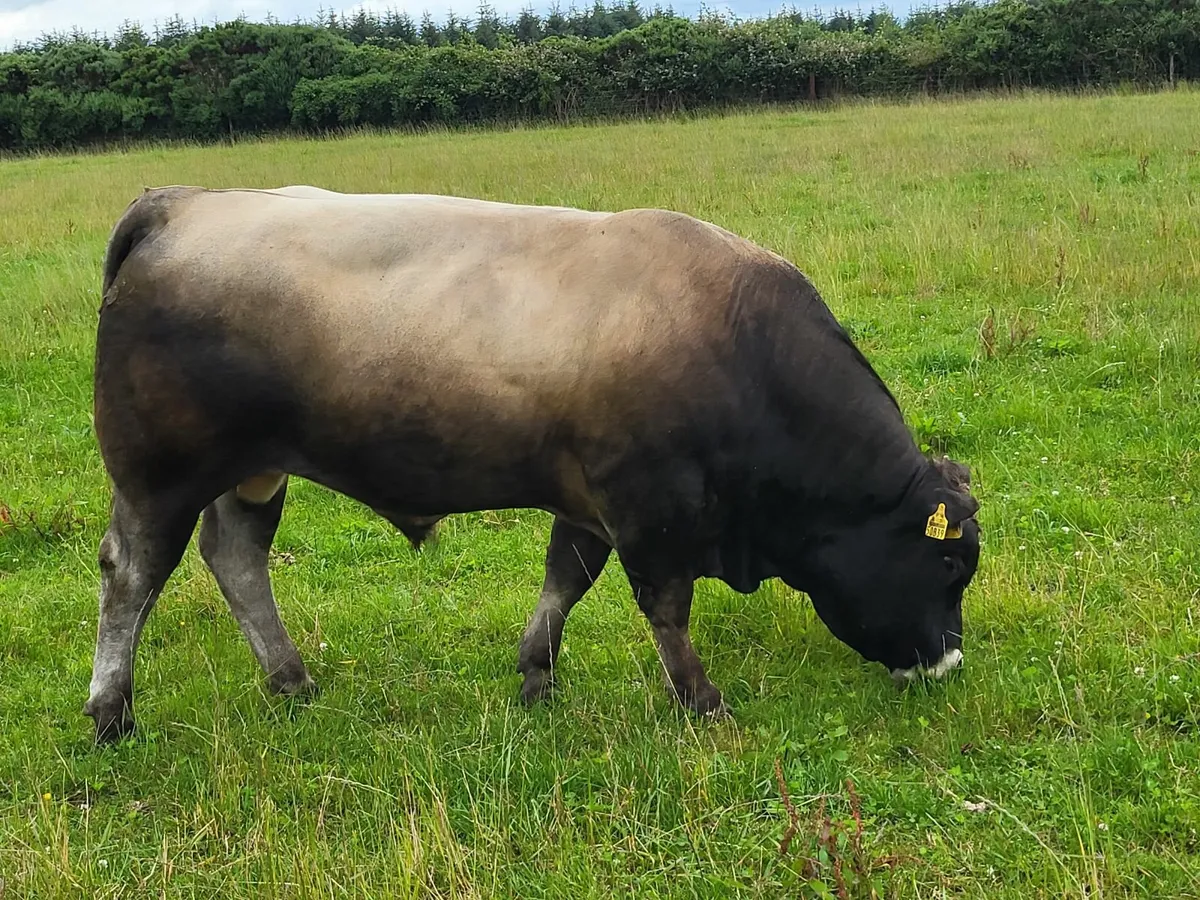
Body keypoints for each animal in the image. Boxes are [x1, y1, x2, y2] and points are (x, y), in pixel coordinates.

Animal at [85, 184, 981, 744]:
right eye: (947, 564)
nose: (948, 663)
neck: (738, 346)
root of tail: (184, 201)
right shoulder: (651, 511)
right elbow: (666, 608)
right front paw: (702, 702)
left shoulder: (587, 501)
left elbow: (564, 583)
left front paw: (536, 677)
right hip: (160, 476)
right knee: (132, 575)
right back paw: (113, 713)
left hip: (250, 472)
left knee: (236, 558)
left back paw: (291, 680)